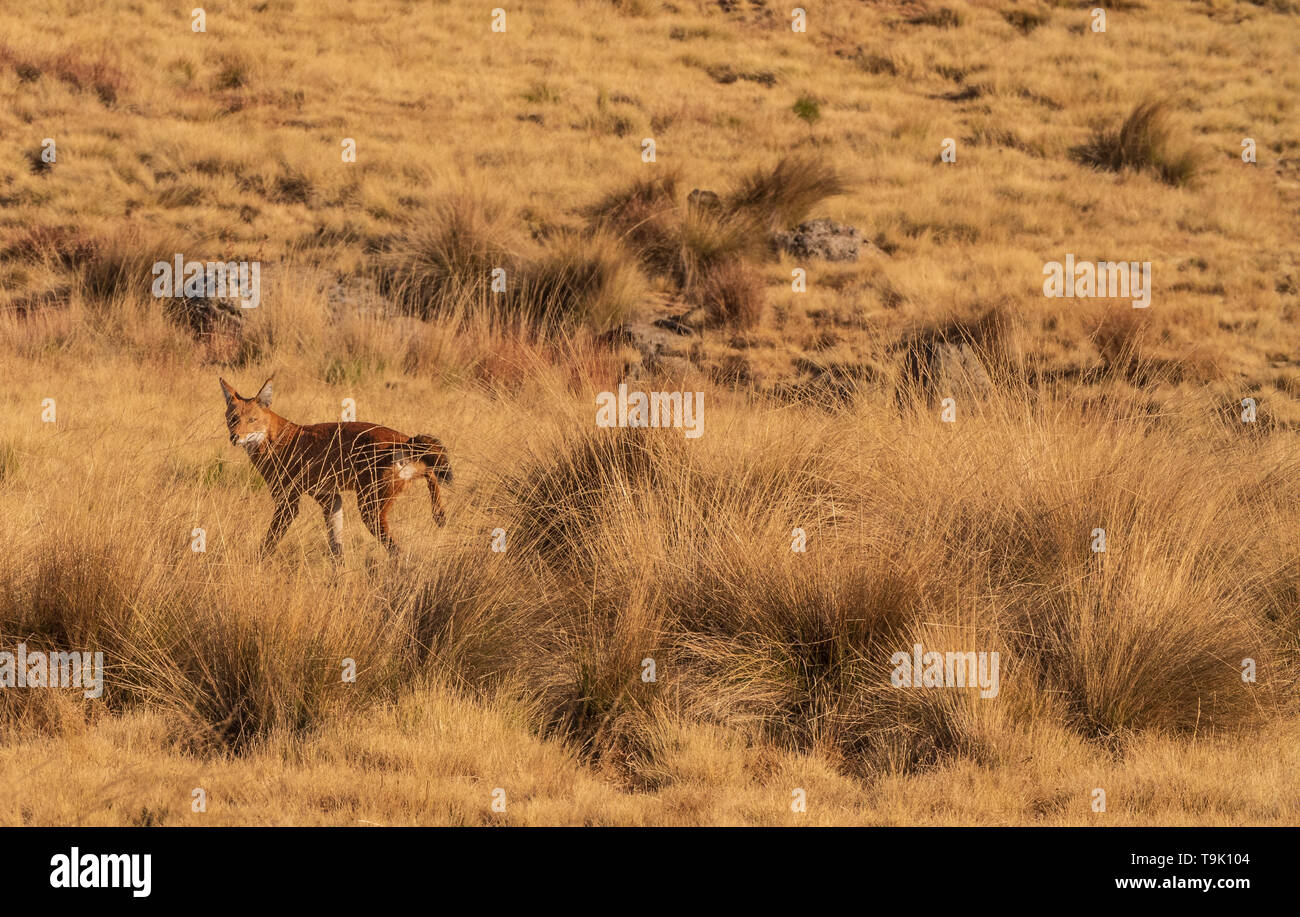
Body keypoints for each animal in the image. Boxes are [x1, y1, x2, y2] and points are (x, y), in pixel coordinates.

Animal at [219, 376, 452, 559]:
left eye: (252, 420)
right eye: (233, 419)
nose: (235, 437)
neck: (276, 440)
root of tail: (405, 440)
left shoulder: (288, 504)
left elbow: (268, 543)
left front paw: (255, 564)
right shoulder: (330, 499)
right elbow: (337, 549)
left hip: (369, 511)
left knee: (397, 551)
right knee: (431, 473)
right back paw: (440, 514)